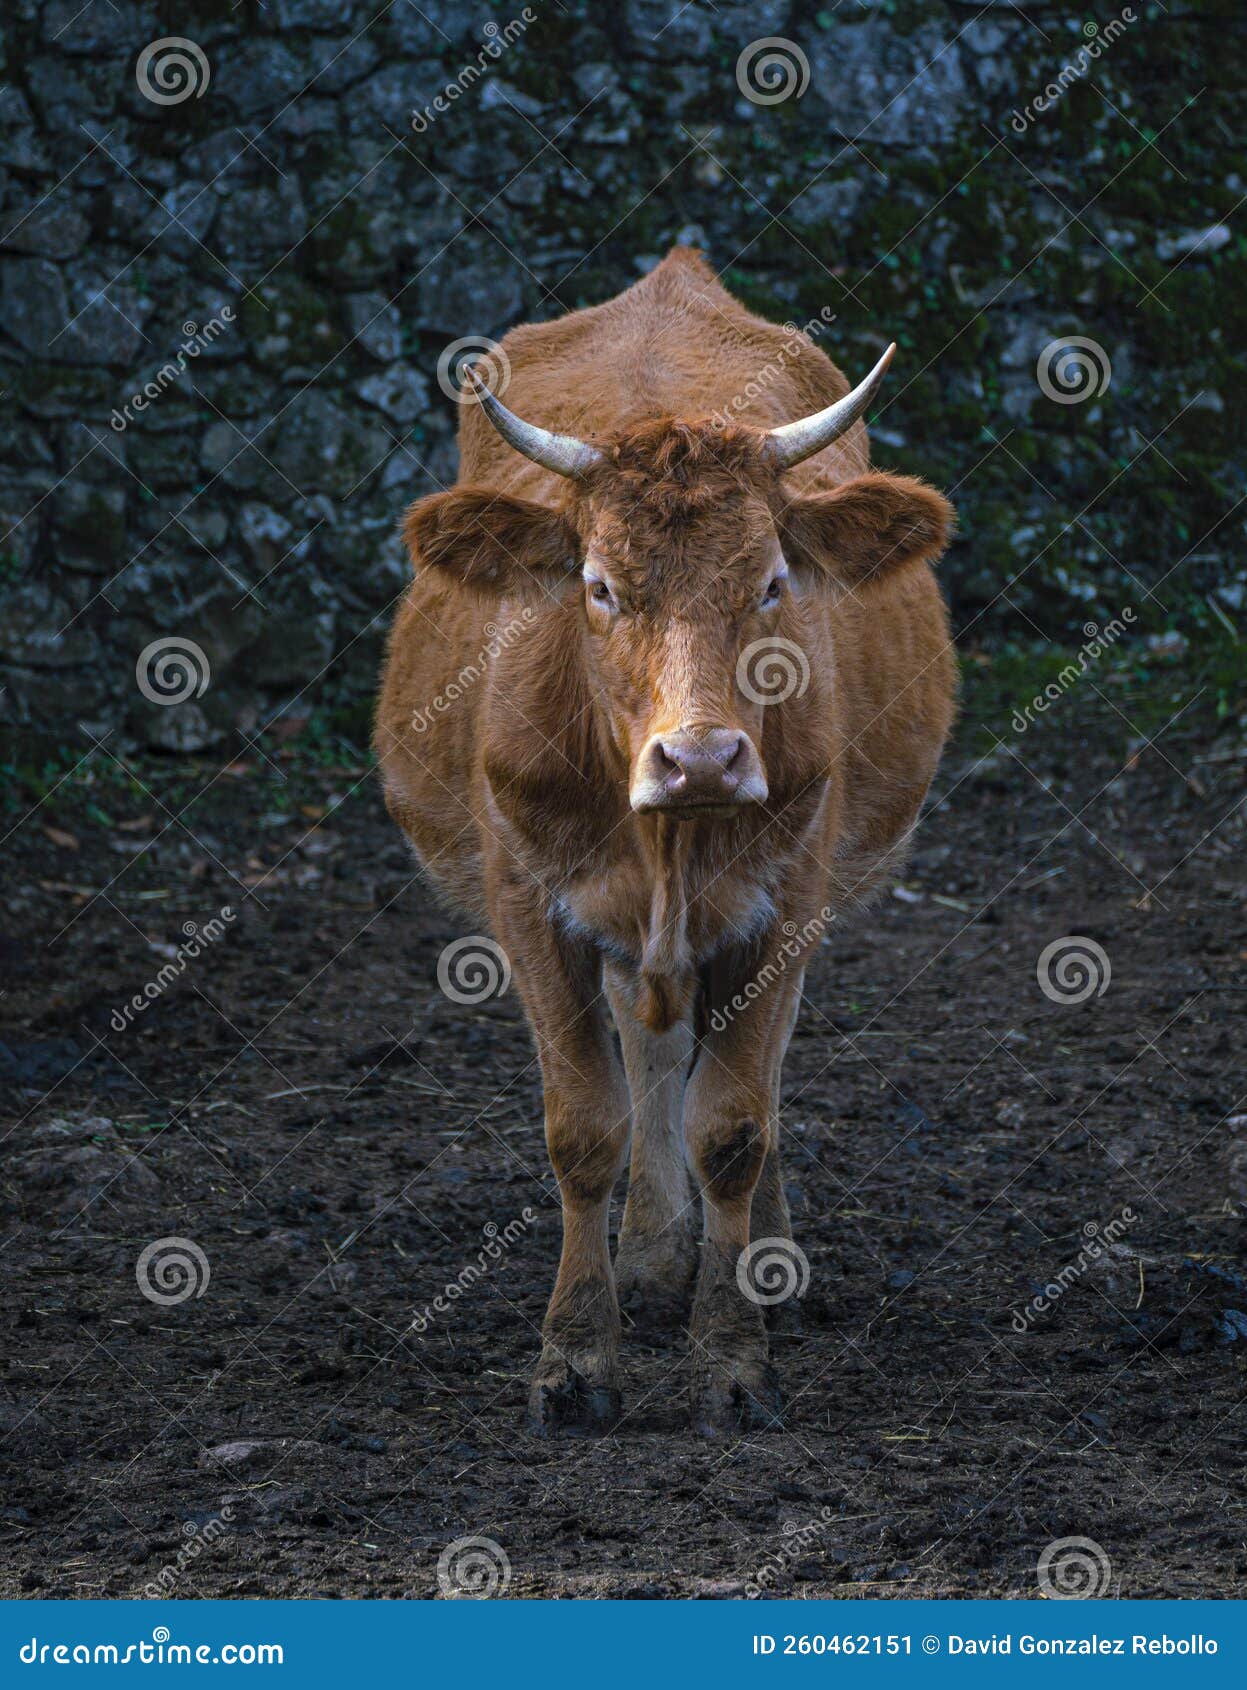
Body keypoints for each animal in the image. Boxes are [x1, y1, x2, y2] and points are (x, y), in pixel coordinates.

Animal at [375, 247, 955, 1439]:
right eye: (597, 586)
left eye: (772, 582)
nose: (699, 762)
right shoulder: (526, 902)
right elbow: (583, 1129)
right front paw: (573, 1356)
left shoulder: (784, 899)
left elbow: (731, 1122)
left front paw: (733, 1356)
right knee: (648, 1052)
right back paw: (647, 1258)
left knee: (744, 1075)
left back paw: (760, 1259)